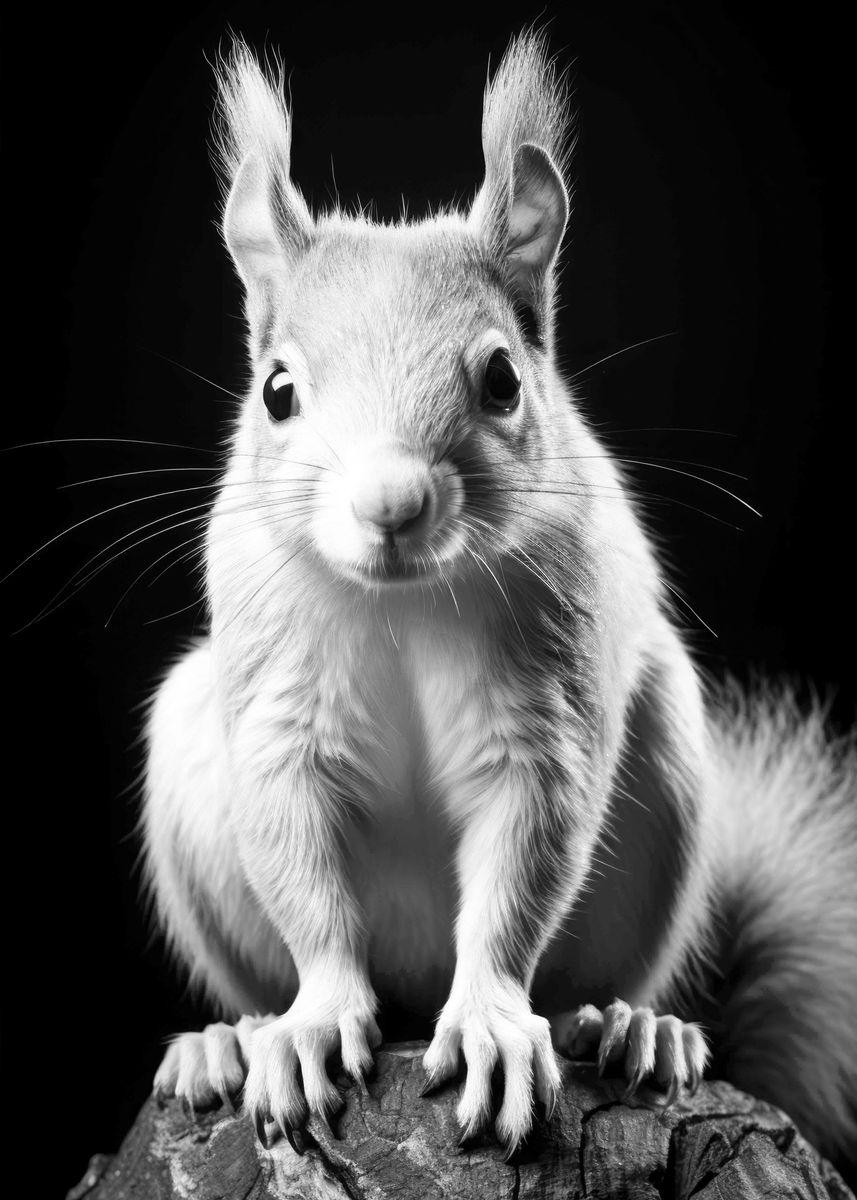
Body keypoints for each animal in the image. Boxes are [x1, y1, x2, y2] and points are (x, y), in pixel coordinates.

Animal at [144, 32, 857, 1166]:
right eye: (276, 391)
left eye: (503, 380)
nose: (390, 501)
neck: (399, 602)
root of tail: (408, 993)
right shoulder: (275, 712)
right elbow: (303, 878)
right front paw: (309, 1024)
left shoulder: (542, 704)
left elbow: (521, 867)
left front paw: (485, 1021)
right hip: (185, 752)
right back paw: (228, 1041)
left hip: (667, 755)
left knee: (582, 985)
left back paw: (634, 1028)